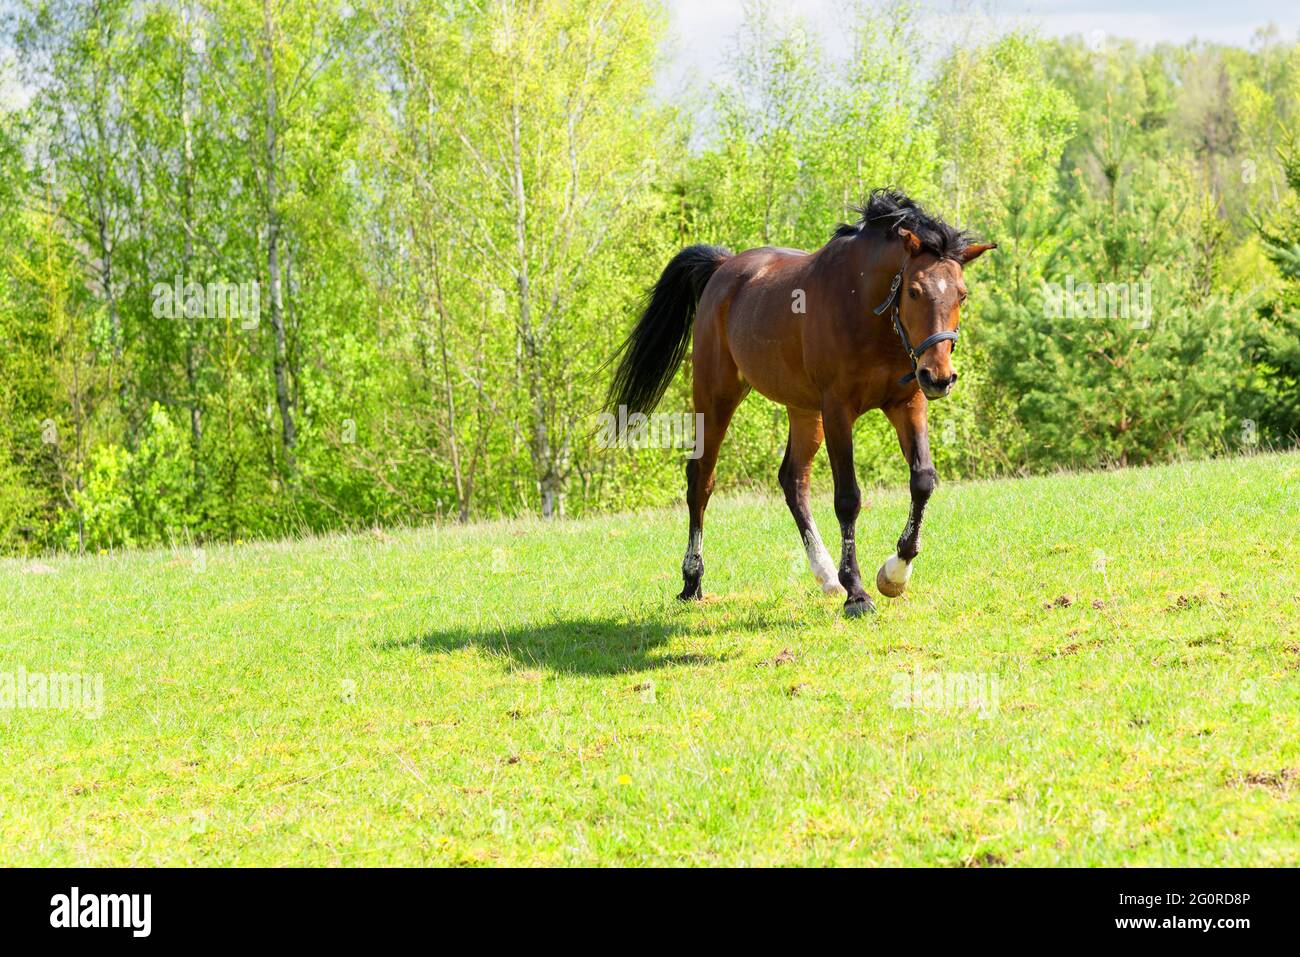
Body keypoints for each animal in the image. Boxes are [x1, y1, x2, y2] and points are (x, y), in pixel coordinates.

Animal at [606, 189, 995, 616]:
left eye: (962, 295)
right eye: (914, 291)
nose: (939, 377)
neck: (864, 309)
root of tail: (723, 268)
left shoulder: (907, 403)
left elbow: (922, 480)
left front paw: (895, 574)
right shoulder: (838, 410)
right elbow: (848, 498)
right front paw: (858, 593)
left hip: (805, 411)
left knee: (793, 479)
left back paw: (826, 576)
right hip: (716, 395)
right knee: (701, 480)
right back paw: (693, 581)